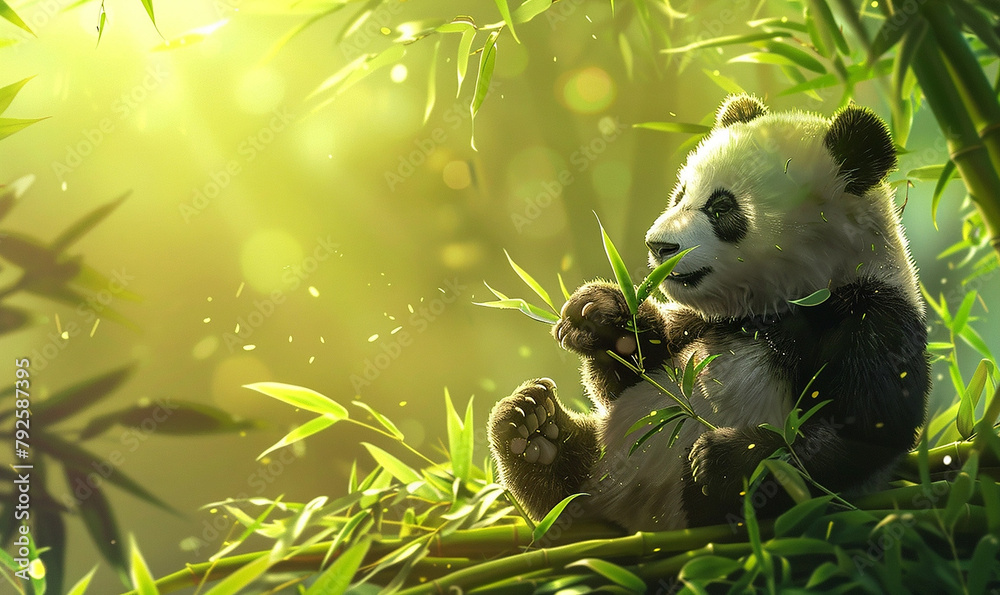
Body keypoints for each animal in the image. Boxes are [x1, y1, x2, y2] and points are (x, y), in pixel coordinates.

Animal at [488, 94, 930, 532]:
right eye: (680, 194)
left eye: (721, 207)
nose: (659, 246)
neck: (784, 299)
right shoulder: (709, 321)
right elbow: (634, 377)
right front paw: (598, 314)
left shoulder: (870, 314)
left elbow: (866, 429)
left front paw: (726, 460)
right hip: (600, 467)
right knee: (569, 477)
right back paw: (533, 429)